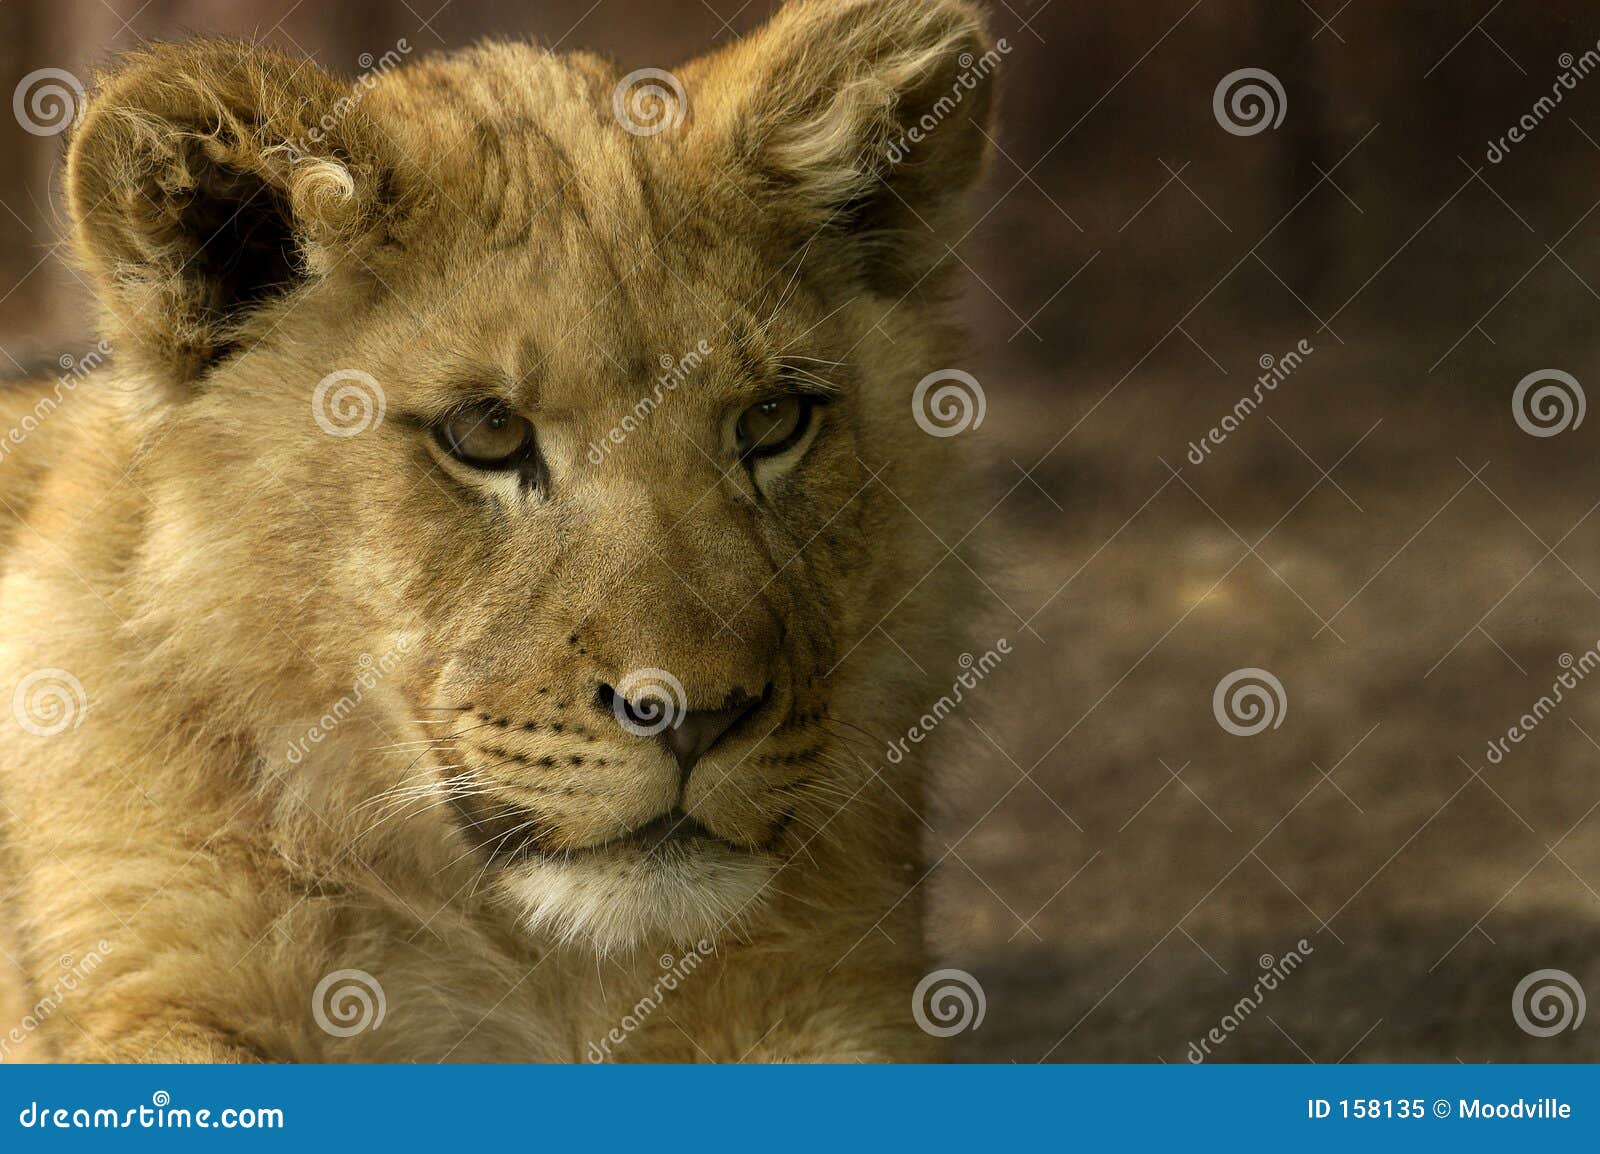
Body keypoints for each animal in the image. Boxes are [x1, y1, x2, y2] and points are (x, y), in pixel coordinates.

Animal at [0, 0, 999, 1062]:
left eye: (772, 421)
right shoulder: (142, 984)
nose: (698, 716)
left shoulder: (847, 994)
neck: (543, 960)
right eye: (486, 433)